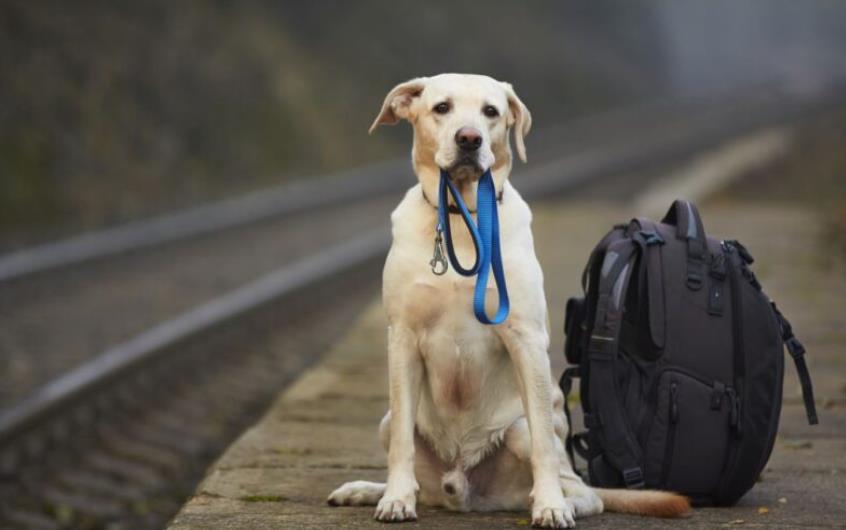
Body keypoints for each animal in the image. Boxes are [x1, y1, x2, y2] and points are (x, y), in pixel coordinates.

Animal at [324, 73, 688, 524]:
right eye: (441, 107)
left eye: (491, 112)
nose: (469, 138)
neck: (462, 218)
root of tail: (463, 490)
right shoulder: (403, 337)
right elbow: (402, 449)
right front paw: (395, 499)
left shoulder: (525, 338)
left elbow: (546, 447)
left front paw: (550, 506)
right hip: (388, 421)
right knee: (417, 472)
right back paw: (368, 490)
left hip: (518, 432)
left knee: (584, 488)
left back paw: (557, 500)